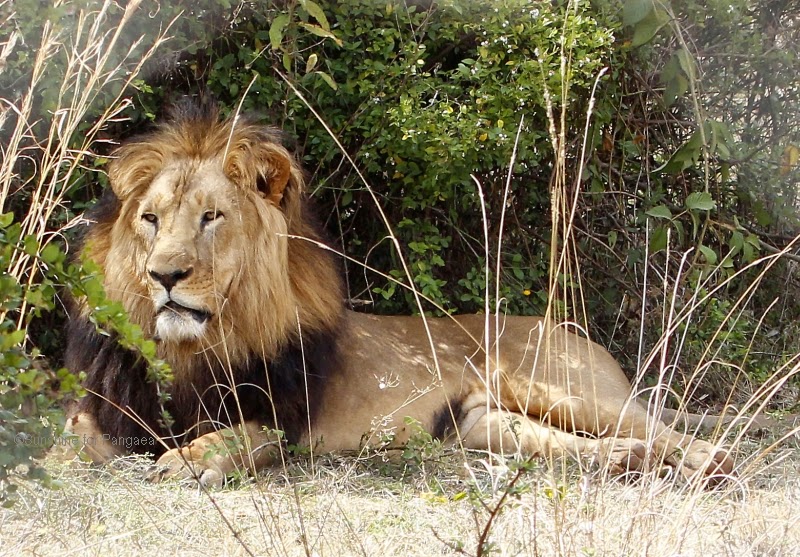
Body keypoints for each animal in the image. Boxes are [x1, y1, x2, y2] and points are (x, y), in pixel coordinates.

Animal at [65, 101, 734, 487]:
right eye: (150, 220)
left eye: (211, 218)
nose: (164, 275)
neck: (187, 349)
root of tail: (564, 326)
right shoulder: (104, 408)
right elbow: (64, 444)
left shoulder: (284, 422)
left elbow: (233, 437)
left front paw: (188, 458)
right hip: (484, 424)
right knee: (597, 445)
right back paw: (628, 463)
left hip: (562, 388)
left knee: (673, 433)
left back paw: (705, 465)